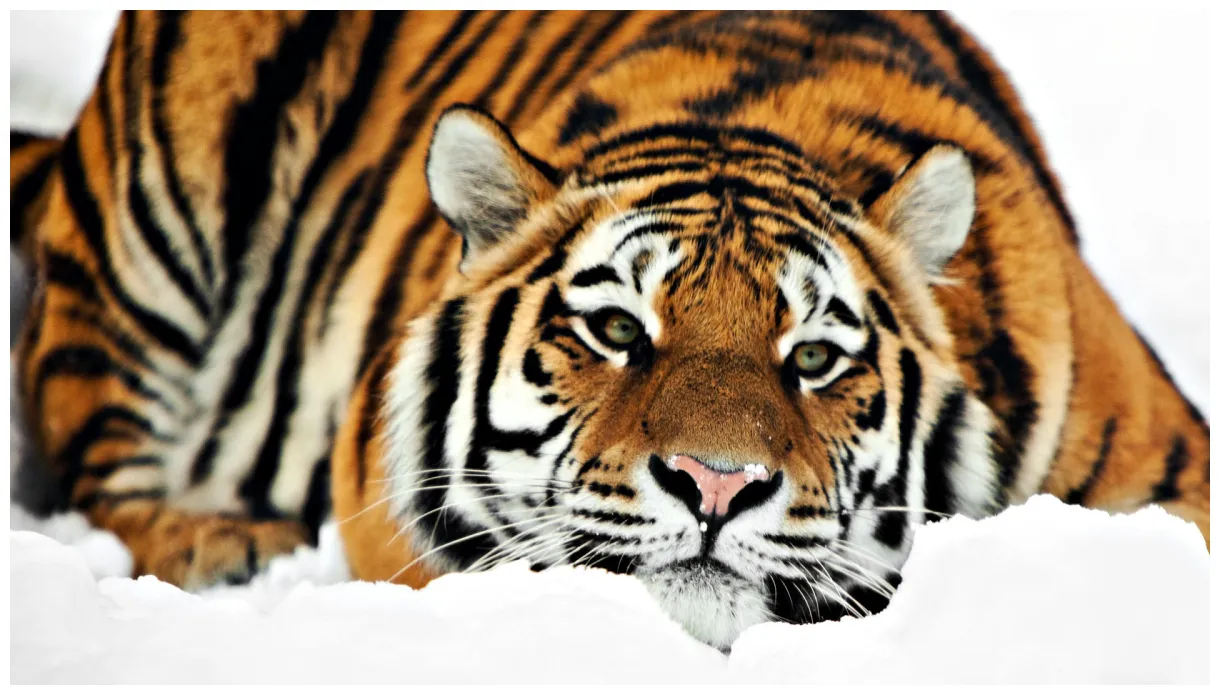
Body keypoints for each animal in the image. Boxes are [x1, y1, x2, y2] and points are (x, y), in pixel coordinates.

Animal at [10, 10, 1209, 649]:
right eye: (617, 328)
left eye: (815, 356)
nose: (717, 483)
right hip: (154, 212)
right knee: (95, 449)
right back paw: (219, 541)